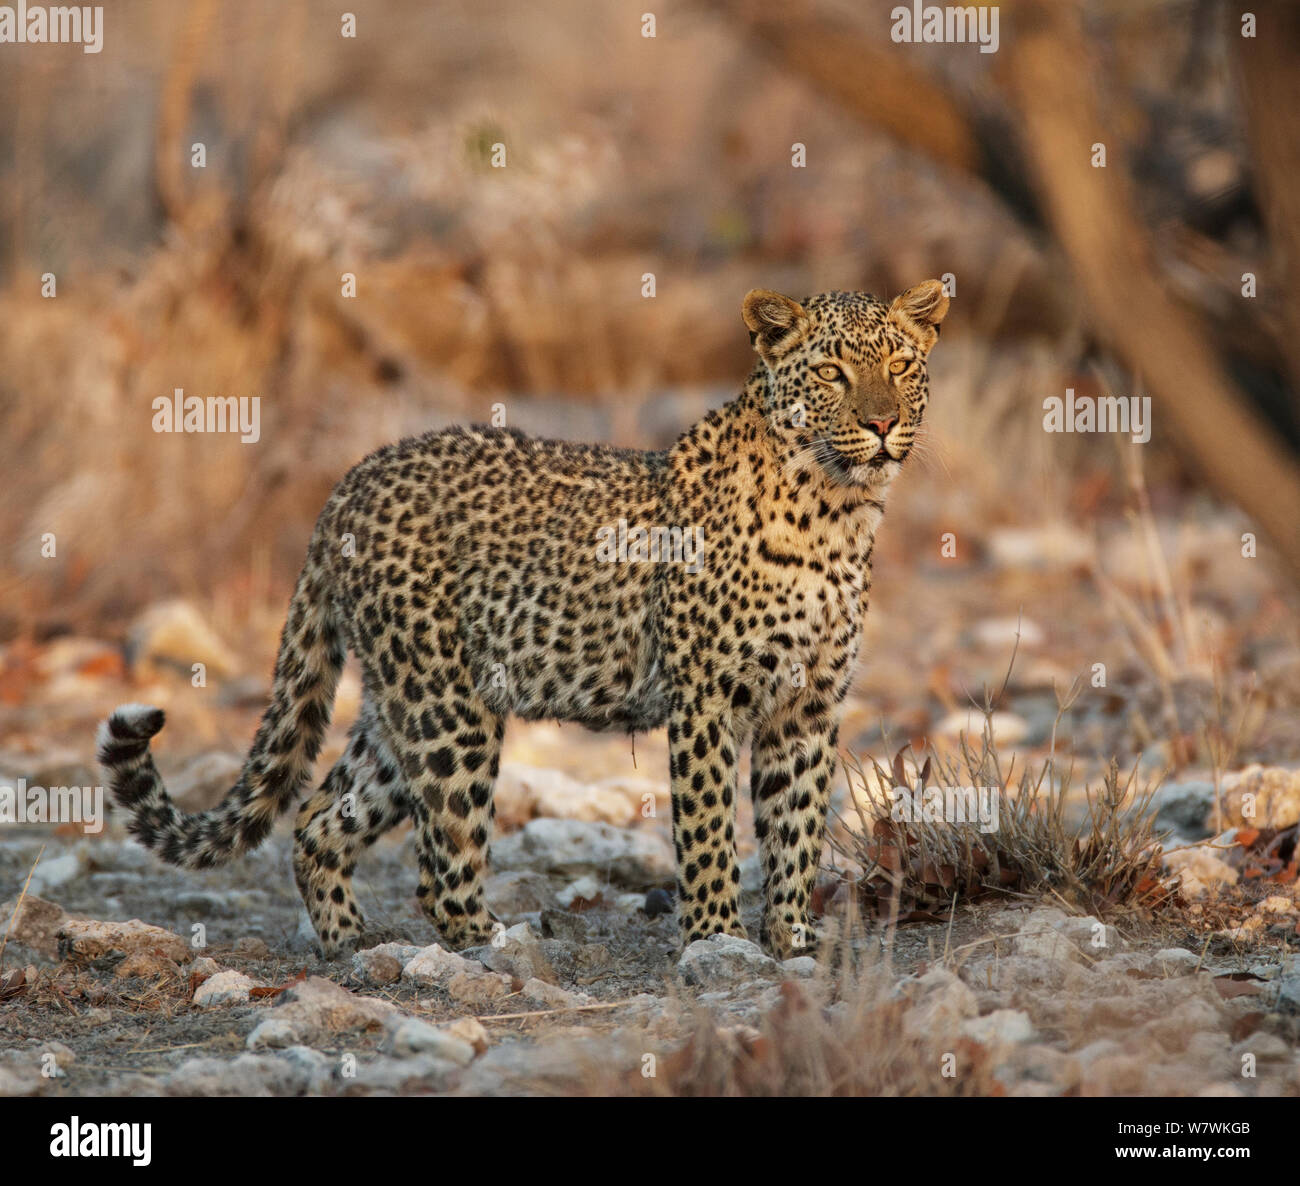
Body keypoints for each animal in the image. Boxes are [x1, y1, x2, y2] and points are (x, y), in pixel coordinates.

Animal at [97, 280, 948, 960]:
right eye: (833, 374)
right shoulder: (707, 699)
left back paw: (350, 942)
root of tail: (349, 482)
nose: (881, 425)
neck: (837, 514)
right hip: (449, 711)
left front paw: (794, 937)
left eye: (902, 367)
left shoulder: (807, 707)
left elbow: (795, 825)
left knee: (317, 817)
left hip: (402, 709)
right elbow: (710, 828)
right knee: (440, 859)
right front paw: (715, 941)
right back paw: (492, 942)